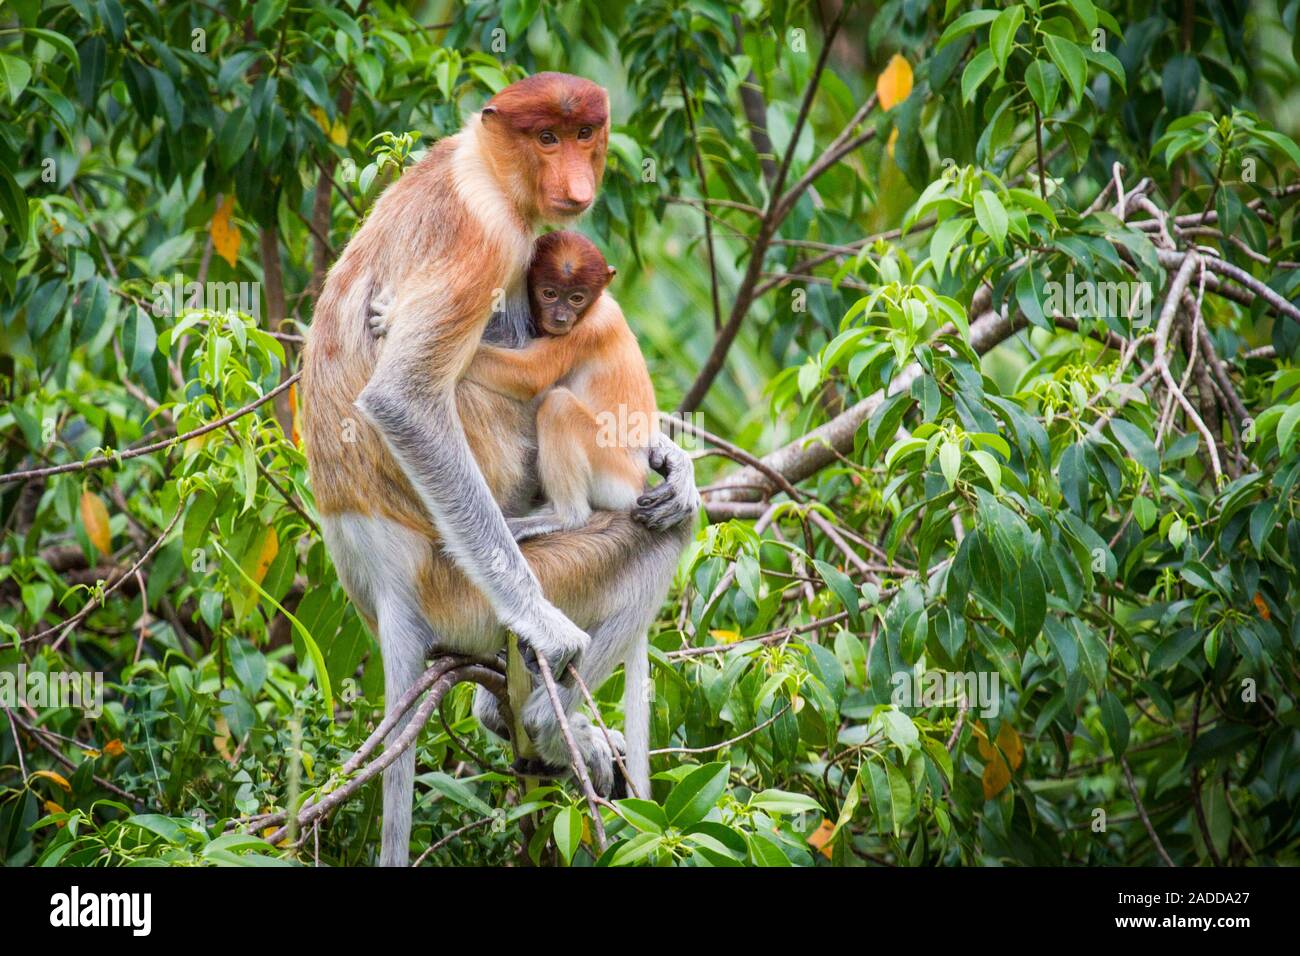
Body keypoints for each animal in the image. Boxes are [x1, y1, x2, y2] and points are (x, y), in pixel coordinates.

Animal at [369, 230, 657, 542]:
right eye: (549, 293)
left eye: (577, 298)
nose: (561, 318)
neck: (593, 306)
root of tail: (637, 482)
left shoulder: (589, 328)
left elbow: (528, 376)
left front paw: (391, 318)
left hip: (615, 474)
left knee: (558, 407)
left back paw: (565, 517)